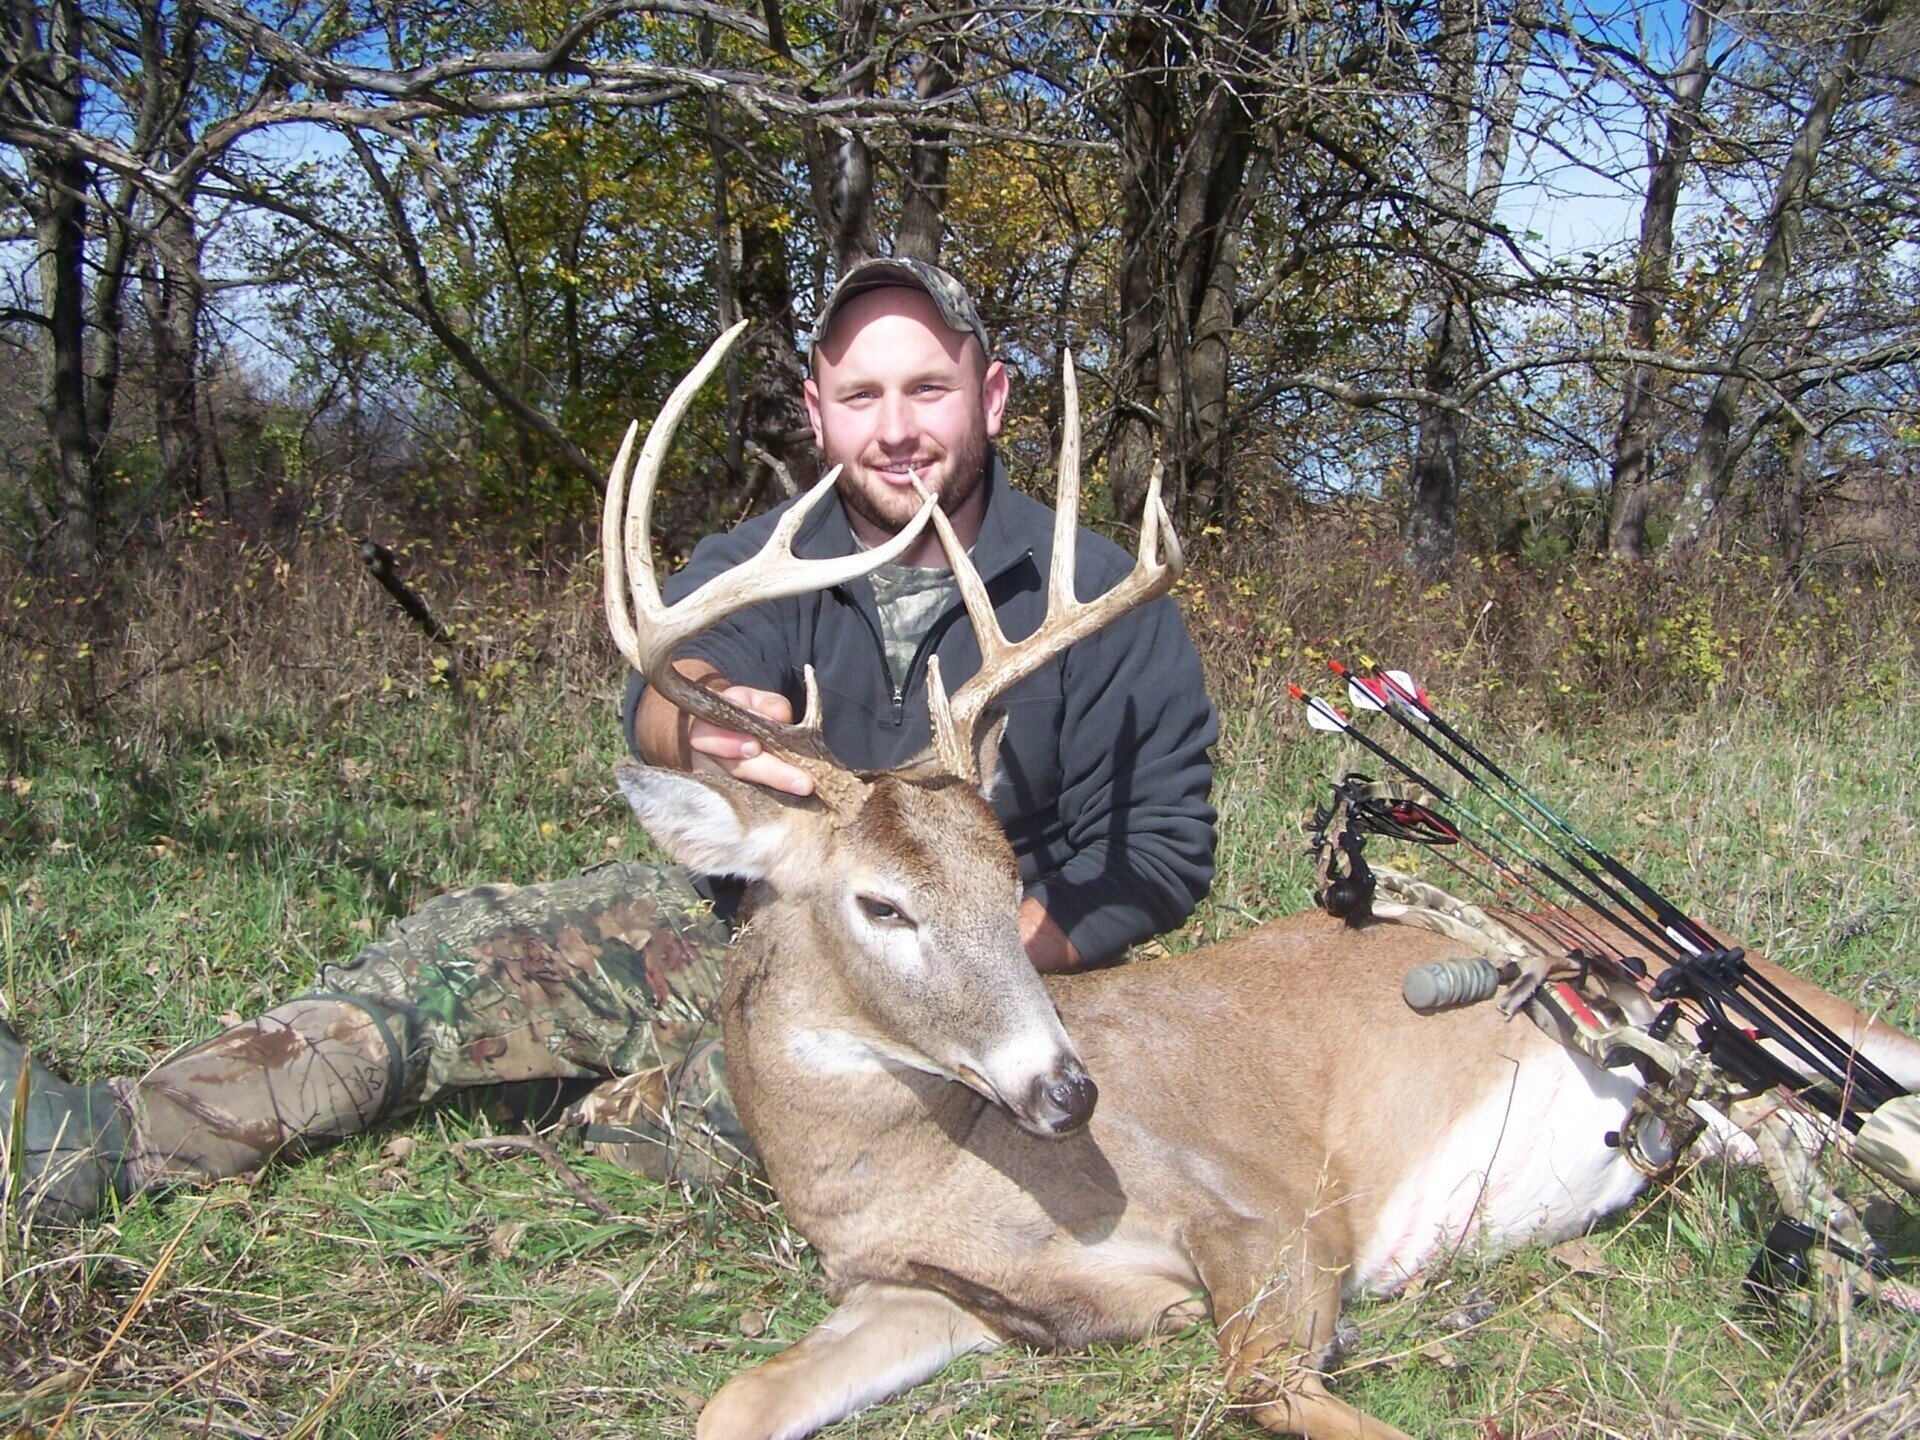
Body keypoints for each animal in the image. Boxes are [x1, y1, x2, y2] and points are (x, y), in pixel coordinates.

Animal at [602, 332, 1920, 1440]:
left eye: (1006, 871)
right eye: (883, 902)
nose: (1070, 1092)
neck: (912, 1174)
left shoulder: (1265, 1206)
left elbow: (1267, 1383)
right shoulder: (921, 1297)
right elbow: (733, 1400)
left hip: (1838, 1035)